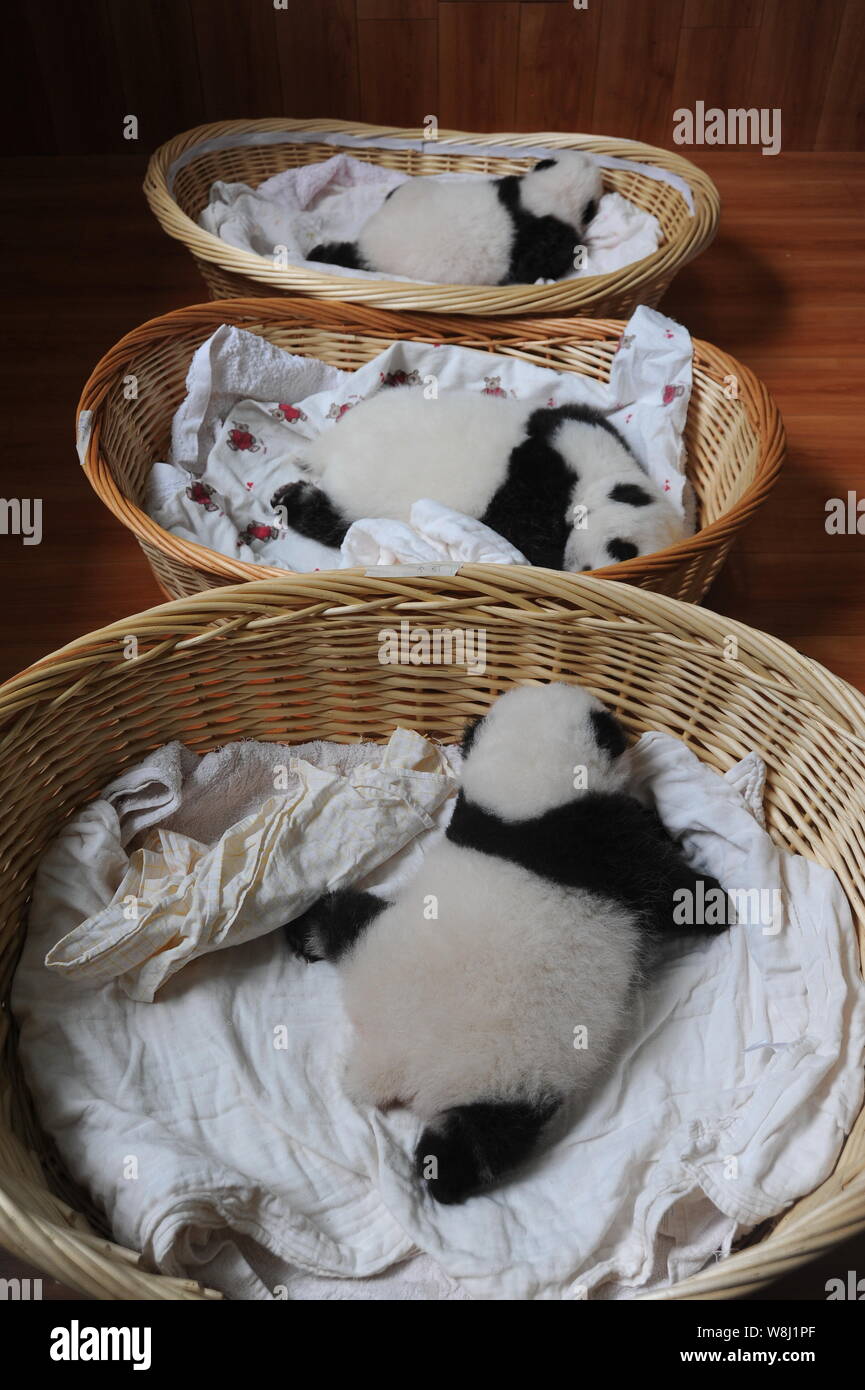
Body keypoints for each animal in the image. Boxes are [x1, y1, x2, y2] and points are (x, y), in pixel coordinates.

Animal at [271, 388, 685, 571]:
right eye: (620, 549)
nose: (581, 570)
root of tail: (330, 451)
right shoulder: (557, 447)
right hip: (362, 490)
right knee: (336, 519)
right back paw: (292, 499)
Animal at [285, 682, 729, 1205]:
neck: (521, 807)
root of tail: (385, 1058)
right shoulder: (601, 845)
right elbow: (665, 889)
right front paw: (716, 900)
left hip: (379, 932)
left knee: (343, 917)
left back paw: (304, 930)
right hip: (505, 1075)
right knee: (486, 1134)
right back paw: (446, 1176)